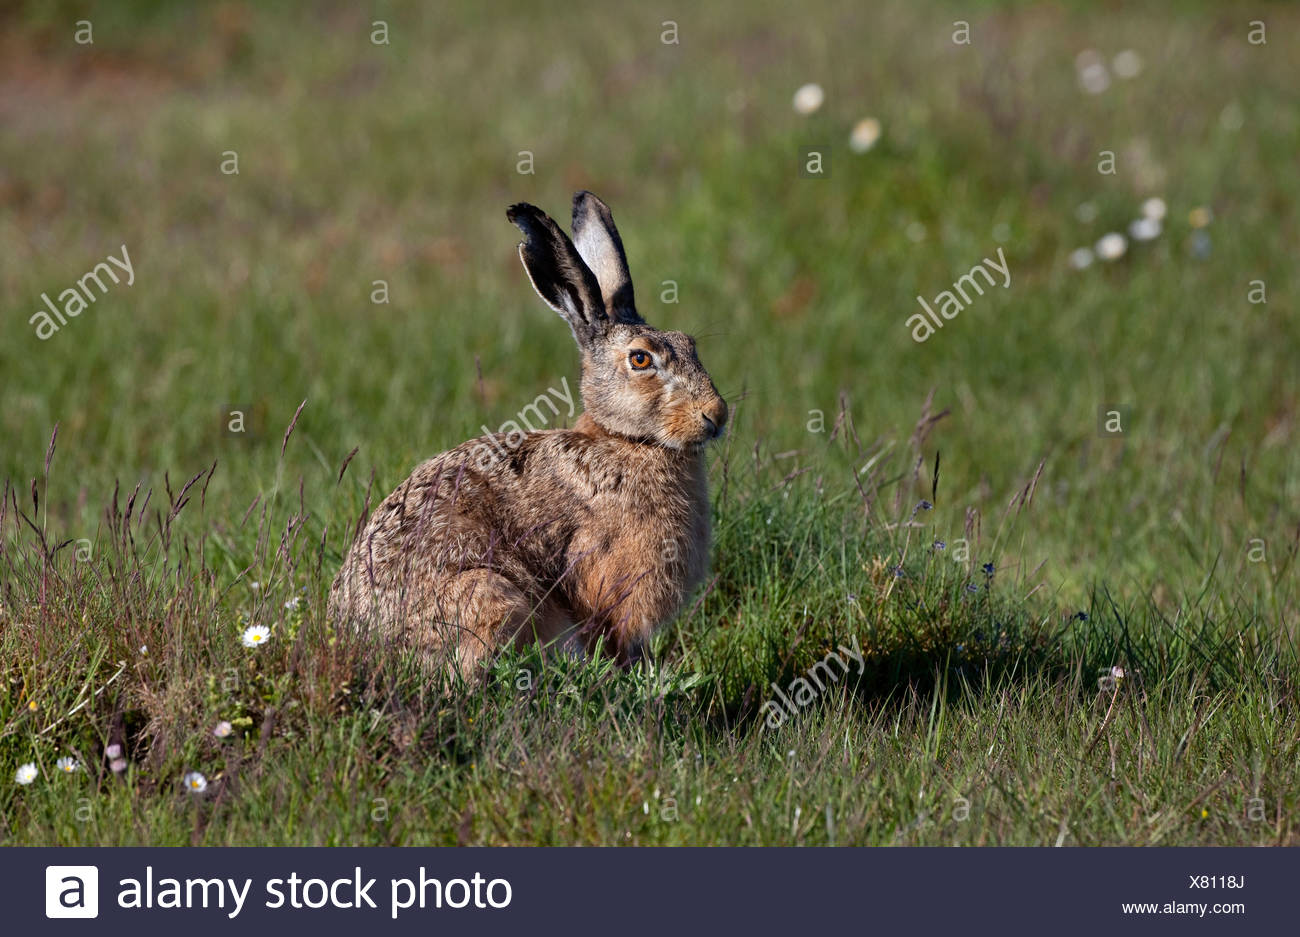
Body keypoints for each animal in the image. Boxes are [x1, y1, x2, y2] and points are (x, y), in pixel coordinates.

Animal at [329, 191, 728, 677]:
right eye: (640, 359)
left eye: (691, 344)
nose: (717, 414)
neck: (625, 441)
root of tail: (358, 643)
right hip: (490, 596)